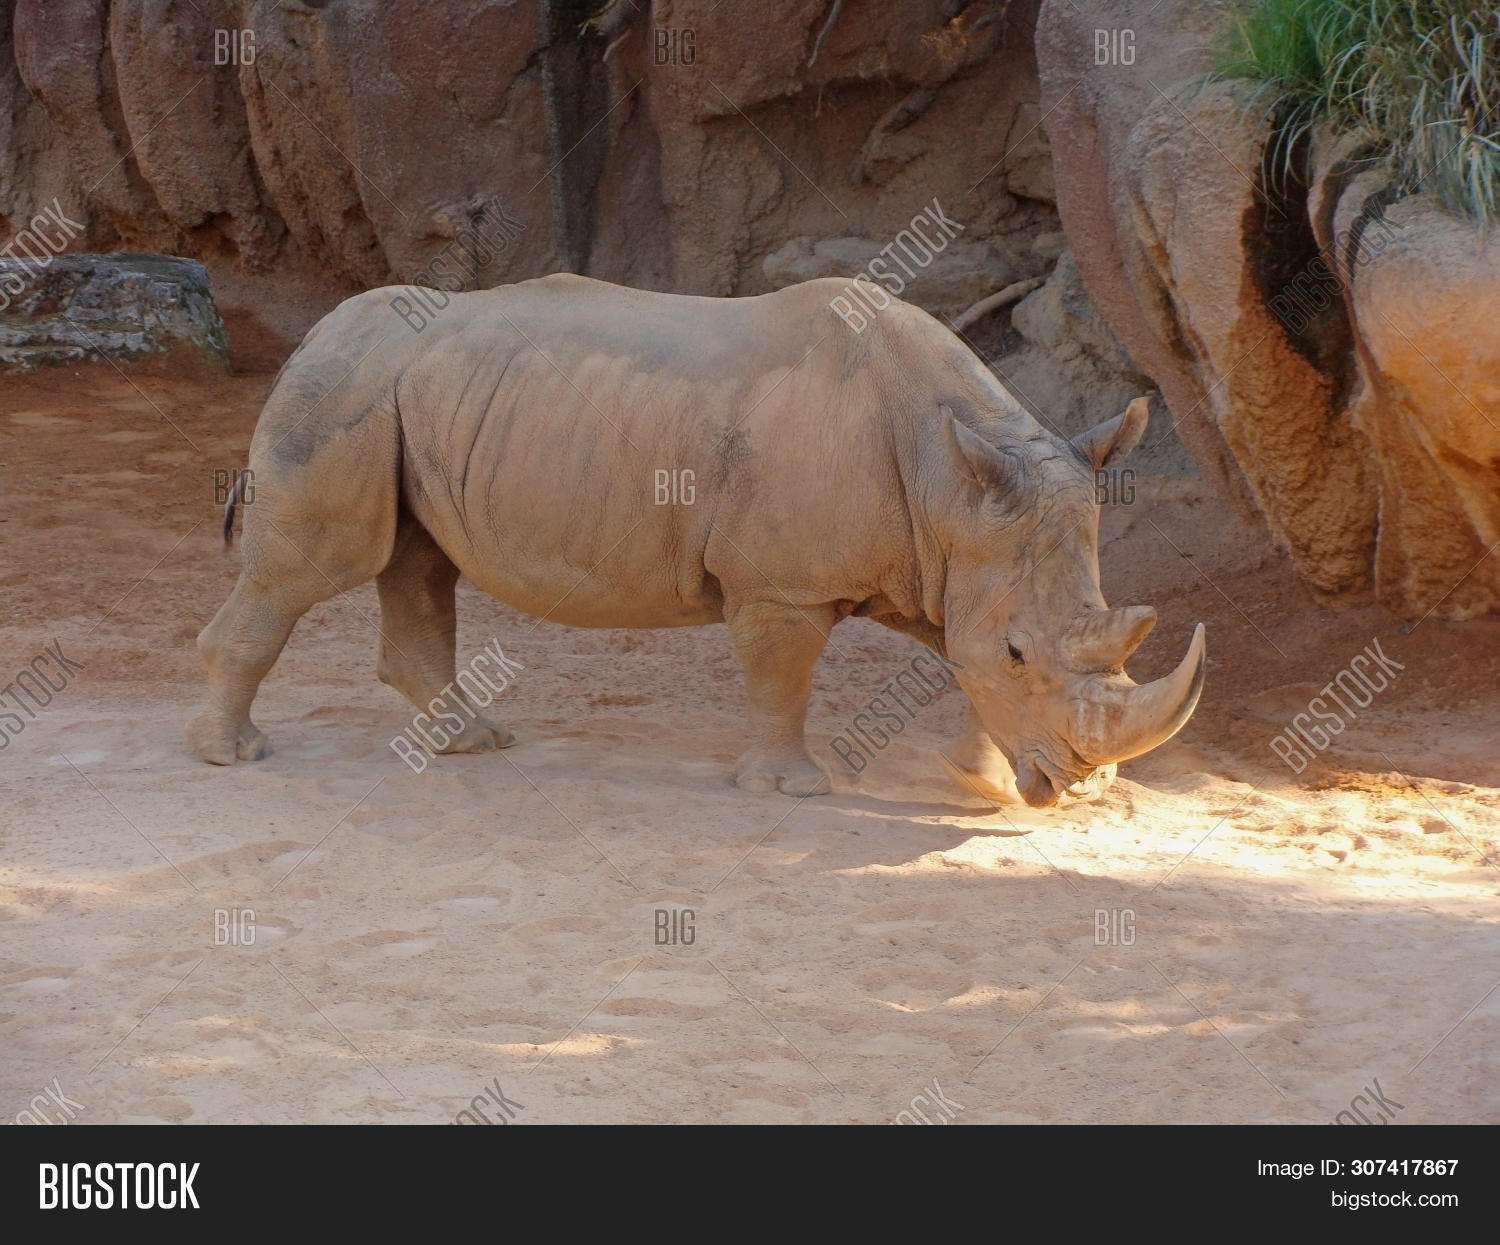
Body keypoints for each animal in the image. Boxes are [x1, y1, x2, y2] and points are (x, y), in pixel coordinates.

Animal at [190, 274, 1204, 807]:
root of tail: (311, 333)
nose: (1080, 786)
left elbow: (960, 663)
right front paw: (792, 789)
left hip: (411, 396)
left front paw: (981, 777)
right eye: (1023, 649)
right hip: (341, 390)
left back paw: (472, 745)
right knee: (307, 574)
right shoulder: (781, 584)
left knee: (418, 567)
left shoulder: (956, 557)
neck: (950, 473)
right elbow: (782, 677)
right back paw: (231, 757)